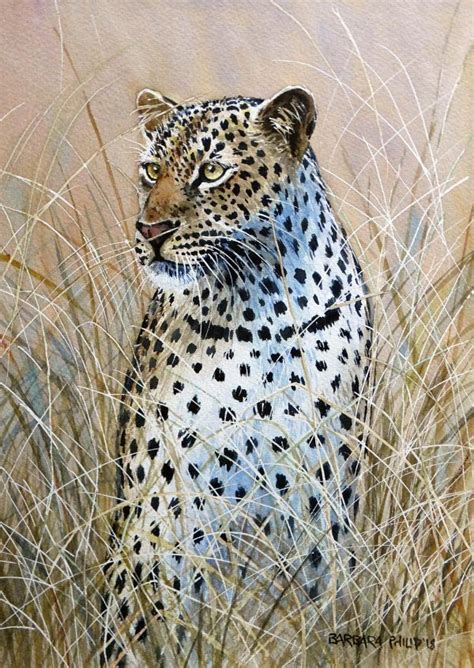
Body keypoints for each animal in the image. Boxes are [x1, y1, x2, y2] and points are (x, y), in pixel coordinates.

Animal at [99, 85, 372, 667]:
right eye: (151, 170)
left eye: (211, 171)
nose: (149, 231)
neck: (261, 310)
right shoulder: (161, 508)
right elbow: (154, 606)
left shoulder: (321, 497)